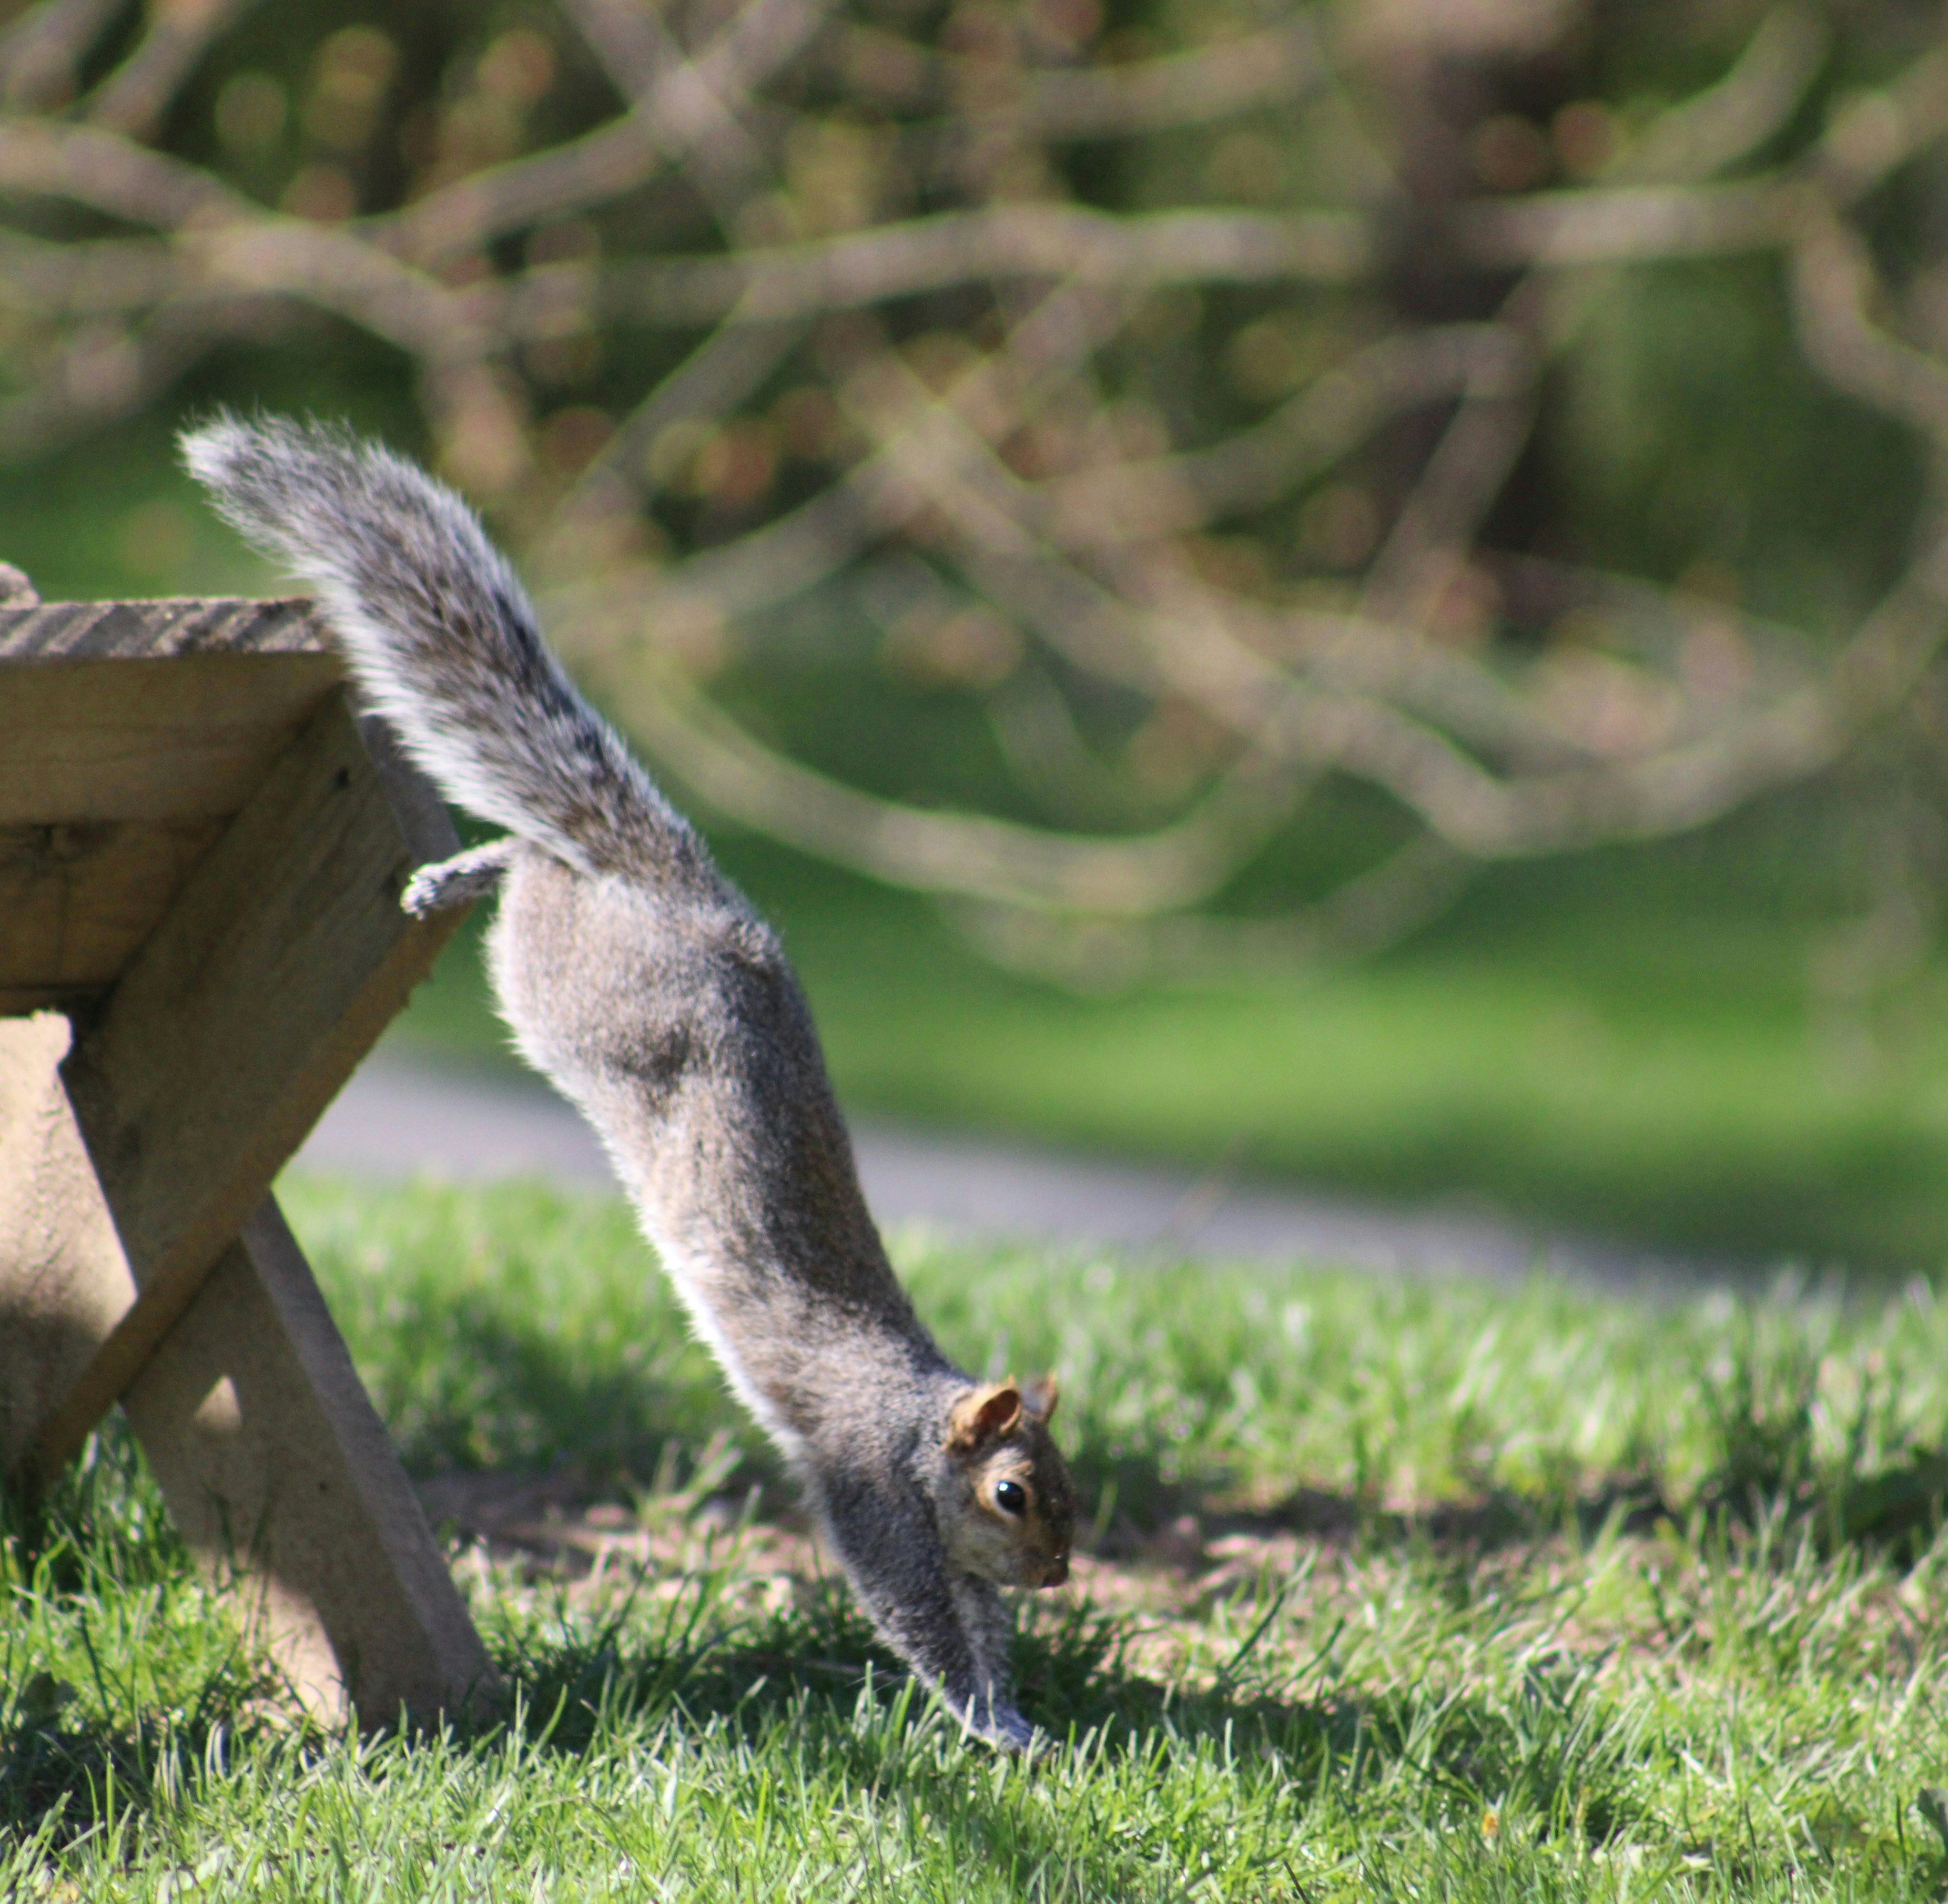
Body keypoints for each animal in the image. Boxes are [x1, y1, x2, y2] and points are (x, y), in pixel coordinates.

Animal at [181, 414, 1076, 1751]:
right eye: (1014, 1489)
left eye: (1070, 1489)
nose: (1064, 1572)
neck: (916, 1416)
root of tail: (673, 892)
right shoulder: (871, 1490)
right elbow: (913, 1614)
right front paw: (990, 1723)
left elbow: (973, 1619)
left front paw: (1014, 1701)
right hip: (566, 989)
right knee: (530, 861)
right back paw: (457, 872)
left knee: (539, 848)